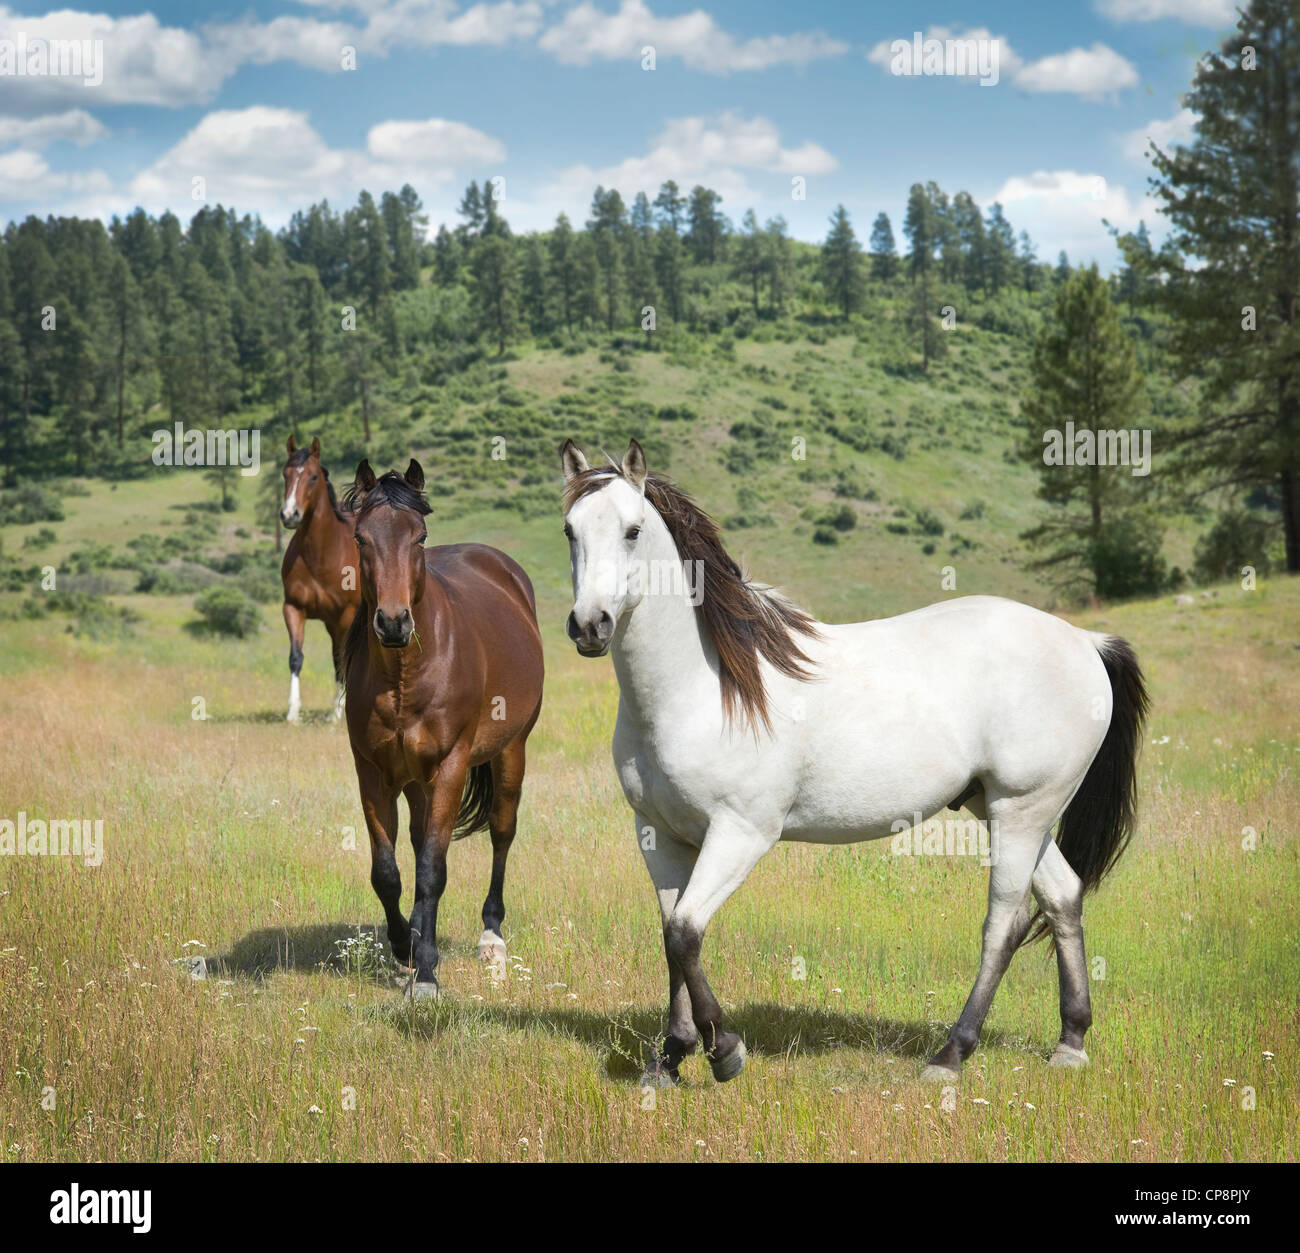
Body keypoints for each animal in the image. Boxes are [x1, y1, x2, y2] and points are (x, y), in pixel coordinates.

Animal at [279, 435, 362, 723]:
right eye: (285, 474)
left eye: (313, 476)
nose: (289, 514)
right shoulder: (294, 608)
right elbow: (295, 657)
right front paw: (293, 712)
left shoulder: (346, 615)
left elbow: (342, 659)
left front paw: (337, 713)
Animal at [342, 458, 544, 997]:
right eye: (361, 537)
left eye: (420, 536)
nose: (393, 623)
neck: (404, 676)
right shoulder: (372, 773)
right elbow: (388, 871)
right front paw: (403, 951)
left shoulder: (451, 766)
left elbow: (434, 869)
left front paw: (427, 971)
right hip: (414, 780)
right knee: (416, 842)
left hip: (511, 752)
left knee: (501, 832)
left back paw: (491, 940)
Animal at [559, 437, 1148, 1086]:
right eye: (569, 530)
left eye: (633, 530)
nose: (590, 625)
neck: (702, 688)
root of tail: (1085, 642)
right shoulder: (659, 836)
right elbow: (670, 936)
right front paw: (669, 1057)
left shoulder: (741, 833)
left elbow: (687, 932)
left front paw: (724, 1051)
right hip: (1007, 811)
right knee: (1062, 897)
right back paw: (1071, 1041)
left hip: (1021, 812)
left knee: (1002, 924)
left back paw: (951, 1055)